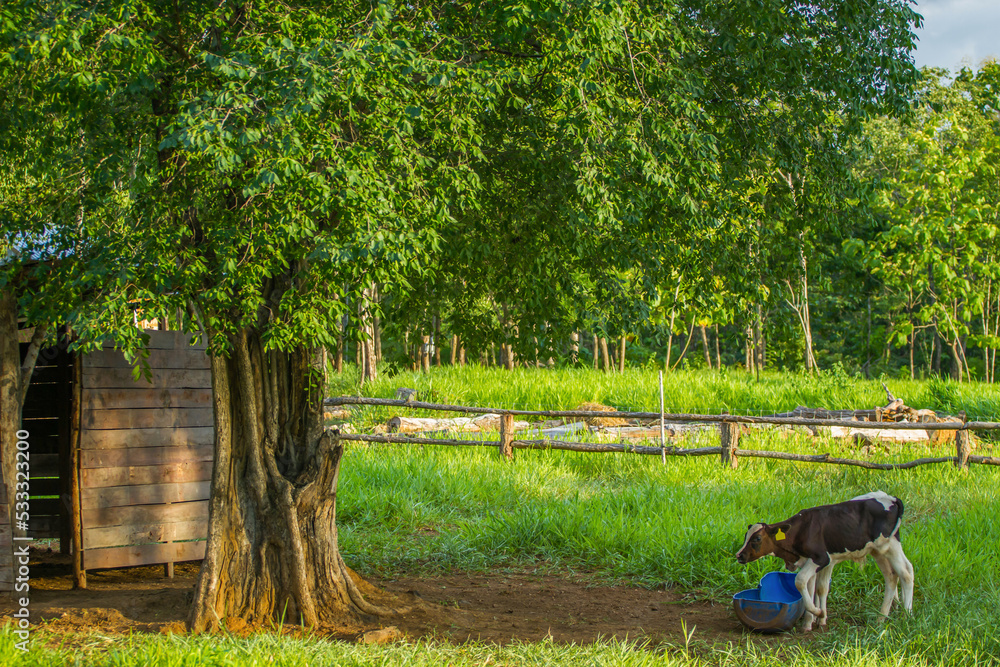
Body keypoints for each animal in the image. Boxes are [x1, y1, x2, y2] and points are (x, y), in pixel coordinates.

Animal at [735, 491, 914, 632]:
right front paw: (812, 621)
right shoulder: (814, 561)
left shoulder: (821, 558)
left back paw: (907, 615)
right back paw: (881, 617)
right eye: (745, 537)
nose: (739, 555)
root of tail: (891, 498)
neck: (802, 530)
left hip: (890, 546)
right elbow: (815, 588)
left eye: (757, 538)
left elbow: (800, 581)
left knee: (906, 573)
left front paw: (818, 613)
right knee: (892, 576)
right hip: (879, 551)